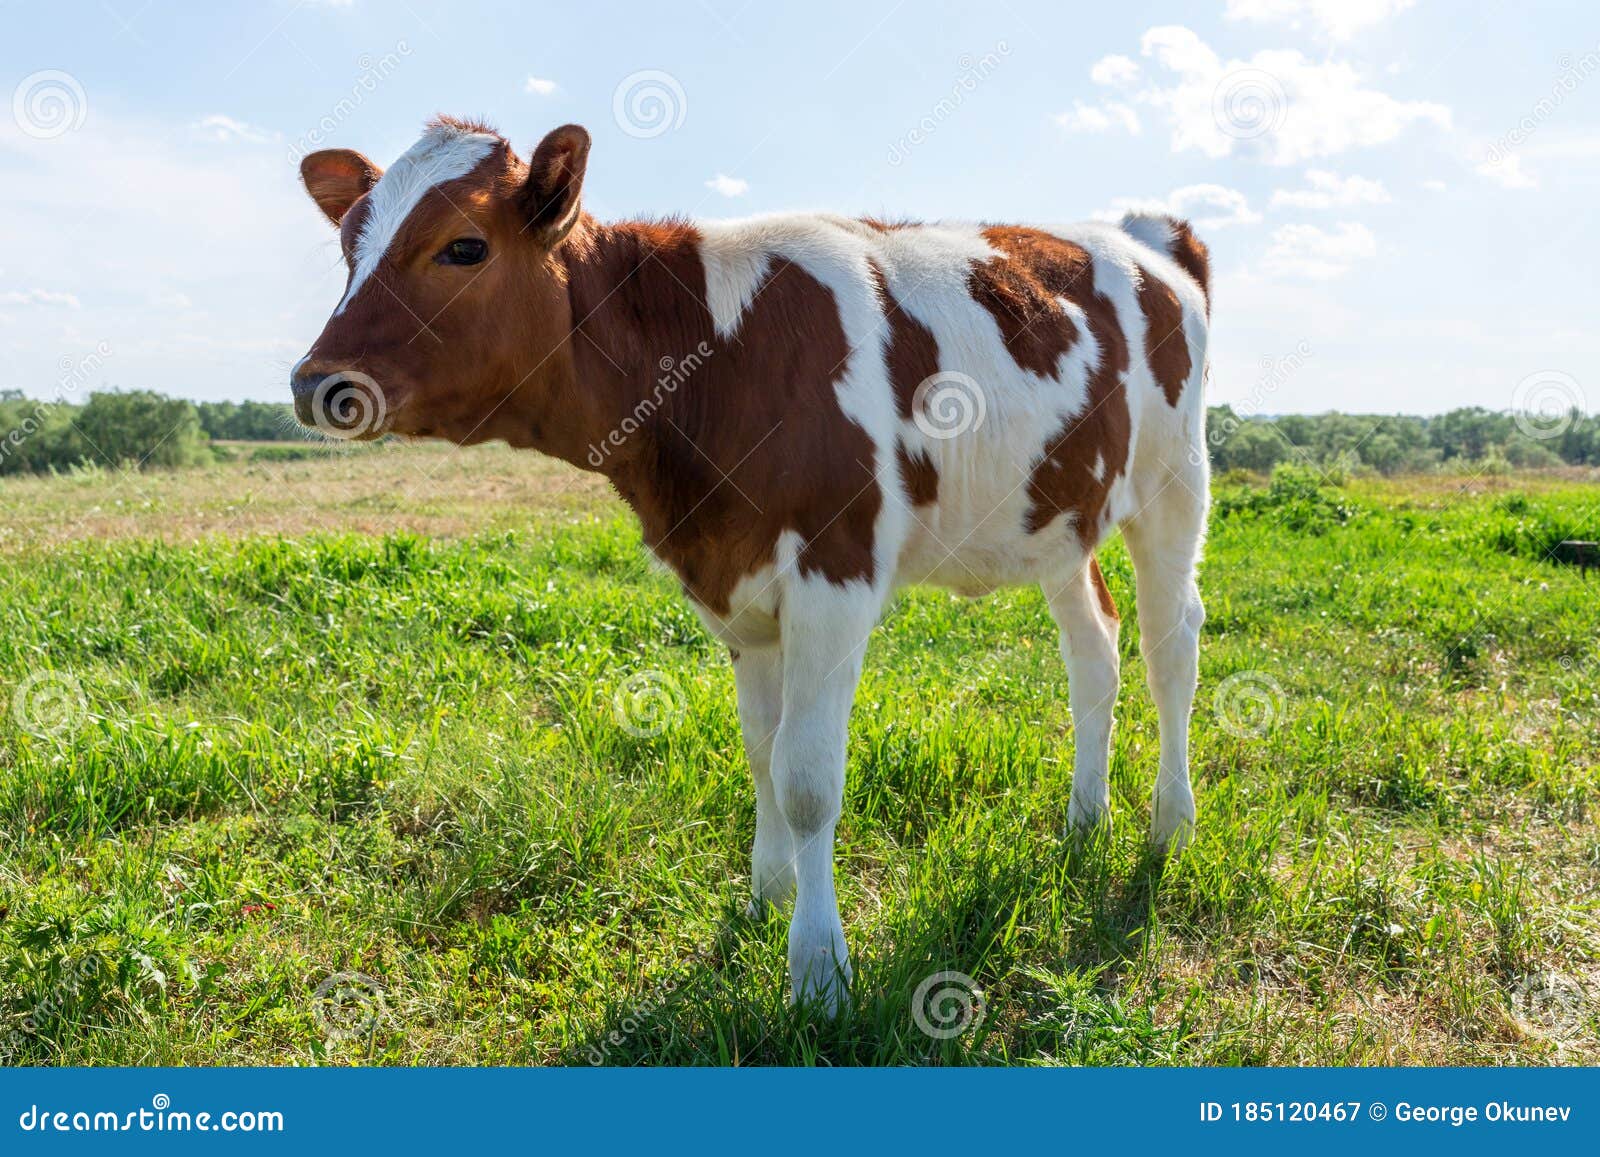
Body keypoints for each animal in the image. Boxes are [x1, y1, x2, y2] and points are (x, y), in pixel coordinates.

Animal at [292, 117, 1211, 1011]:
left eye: (464, 246)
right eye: (348, 243)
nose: (315, 382)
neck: (714, 360)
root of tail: (1147, 234)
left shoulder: (835, 576)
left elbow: (807, 777)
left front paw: (819, 971)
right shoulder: (733, 582)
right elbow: (762, 752)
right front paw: (764, 899)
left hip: (1175, 484)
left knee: (1171, 651)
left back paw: (1169, 826)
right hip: (1062, 515)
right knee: (1094, 651)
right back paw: (1084, 820)